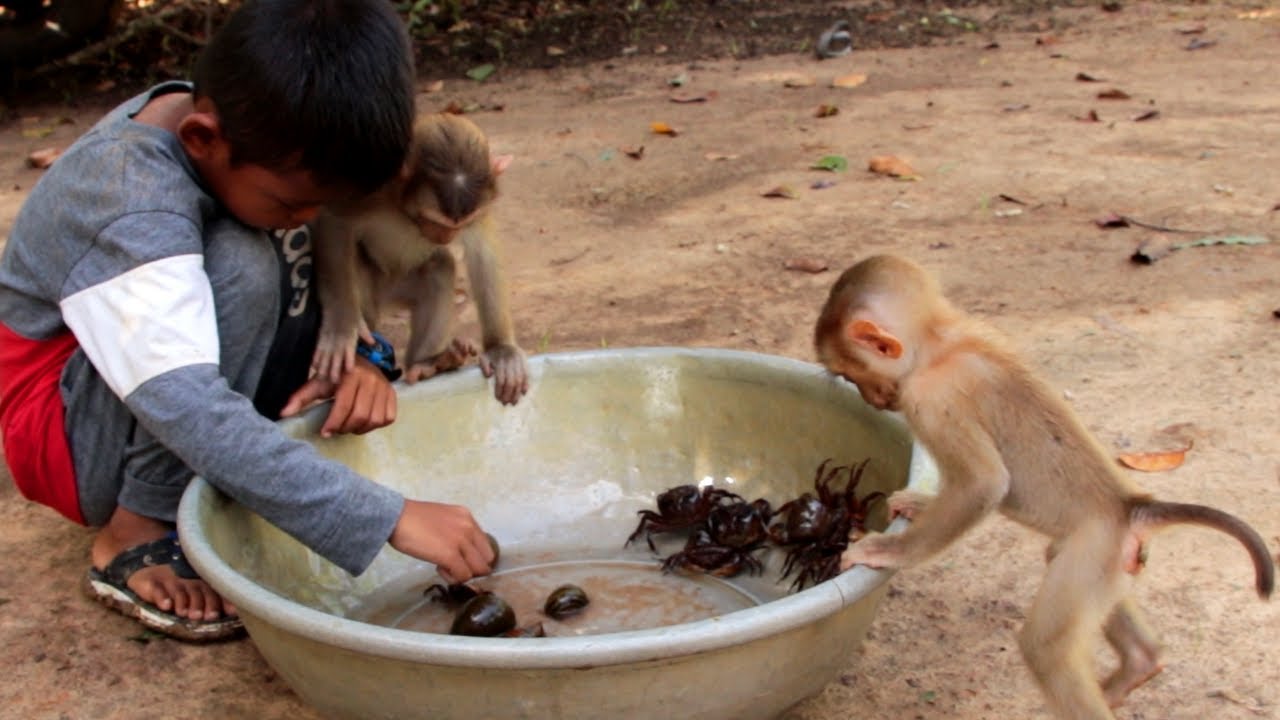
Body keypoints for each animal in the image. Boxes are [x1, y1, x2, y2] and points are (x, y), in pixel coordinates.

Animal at [310, 112, 528, 405]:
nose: (445, 237)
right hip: (377, 287)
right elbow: (333, 221)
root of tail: (387, 299)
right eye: (432, 220)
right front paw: (342, 327)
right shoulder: (370, 188)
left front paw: (500, 350)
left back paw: (427, 362)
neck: (405, 211)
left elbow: (483, 253)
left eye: (461, 224)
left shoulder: (479, 207)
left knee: (440, 268)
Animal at [813, 254, 1274, 720]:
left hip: (1094, 549)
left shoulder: (932, 398)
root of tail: (1130, 506)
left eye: (850, 375)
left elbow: (984, 484)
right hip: (1113, 560)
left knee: (1046, 649)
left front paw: (888, 550)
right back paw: (1141, 663)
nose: (870, 398)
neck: (941, 344)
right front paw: (920, 504)